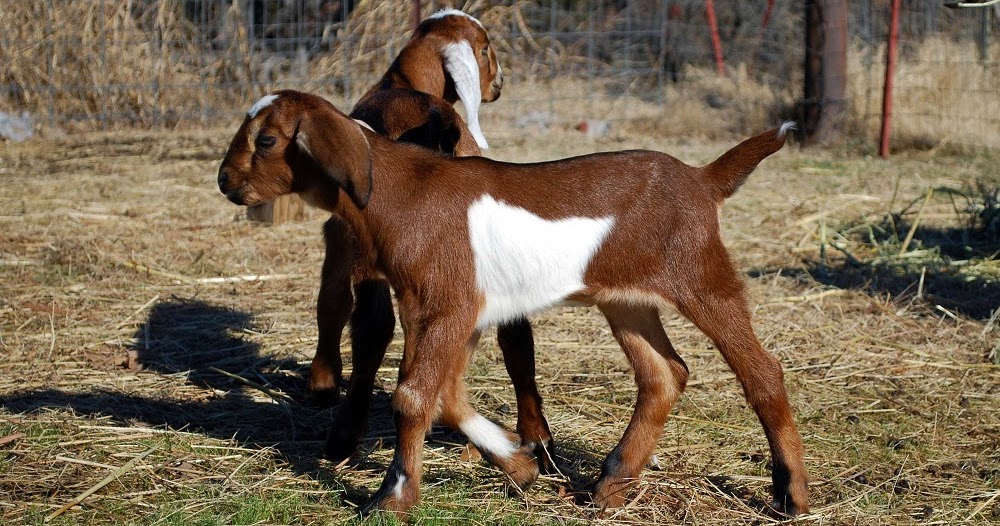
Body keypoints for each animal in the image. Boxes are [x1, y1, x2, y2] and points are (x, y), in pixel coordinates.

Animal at [217, 90, 810, 518]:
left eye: (267, 139)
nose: (225, 181)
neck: (401, 192)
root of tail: (701, 179)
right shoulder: (449, 312)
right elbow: (446, 397)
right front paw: (520, 466)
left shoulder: (448, 305)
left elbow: (413, 397)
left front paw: (393, 498)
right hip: (626, 300)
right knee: (665, 373)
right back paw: (611, 483)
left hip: (702, 277)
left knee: (761, 370)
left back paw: (791, 493)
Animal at [303, 9, 553, 467]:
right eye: (486, 49)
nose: (500, 83)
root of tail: (438, 120)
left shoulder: (342, 234)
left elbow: (331, 302)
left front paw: (322, 383)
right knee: (515, 332)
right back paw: (535, 439)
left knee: (373, 326)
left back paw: (345, 435)